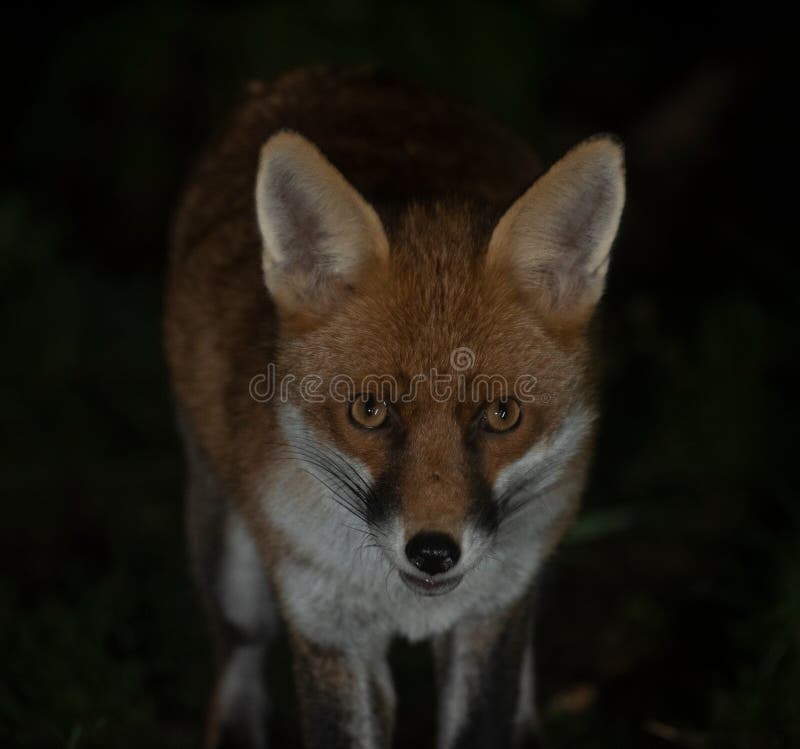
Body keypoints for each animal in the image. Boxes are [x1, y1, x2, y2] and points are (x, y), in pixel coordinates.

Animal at [164, 67, 624, 749]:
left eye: (502, 416)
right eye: (369, 412)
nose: (433, 552)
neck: (407, 603)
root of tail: (351, 73)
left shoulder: (491, 616)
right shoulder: (324, 624)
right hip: (234, 571)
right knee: (238, 663)